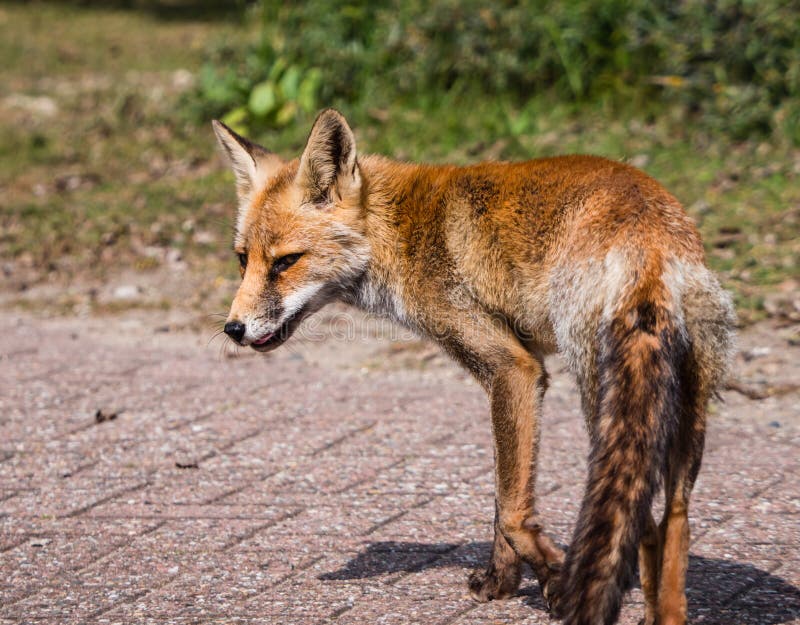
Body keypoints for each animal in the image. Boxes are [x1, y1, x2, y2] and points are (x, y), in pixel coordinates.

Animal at [212, 109, 734, 625]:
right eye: (242, 260)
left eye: (286, 262)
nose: (233, 329)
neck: (397, 231)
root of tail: (650, 239)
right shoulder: (527, 369)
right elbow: (504, 498)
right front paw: (502, 581)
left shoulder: (511, 367)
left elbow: (513, 511)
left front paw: (556, 581)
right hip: (685, 409)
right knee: (674, 519)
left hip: (603, 398)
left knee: (640, 519)